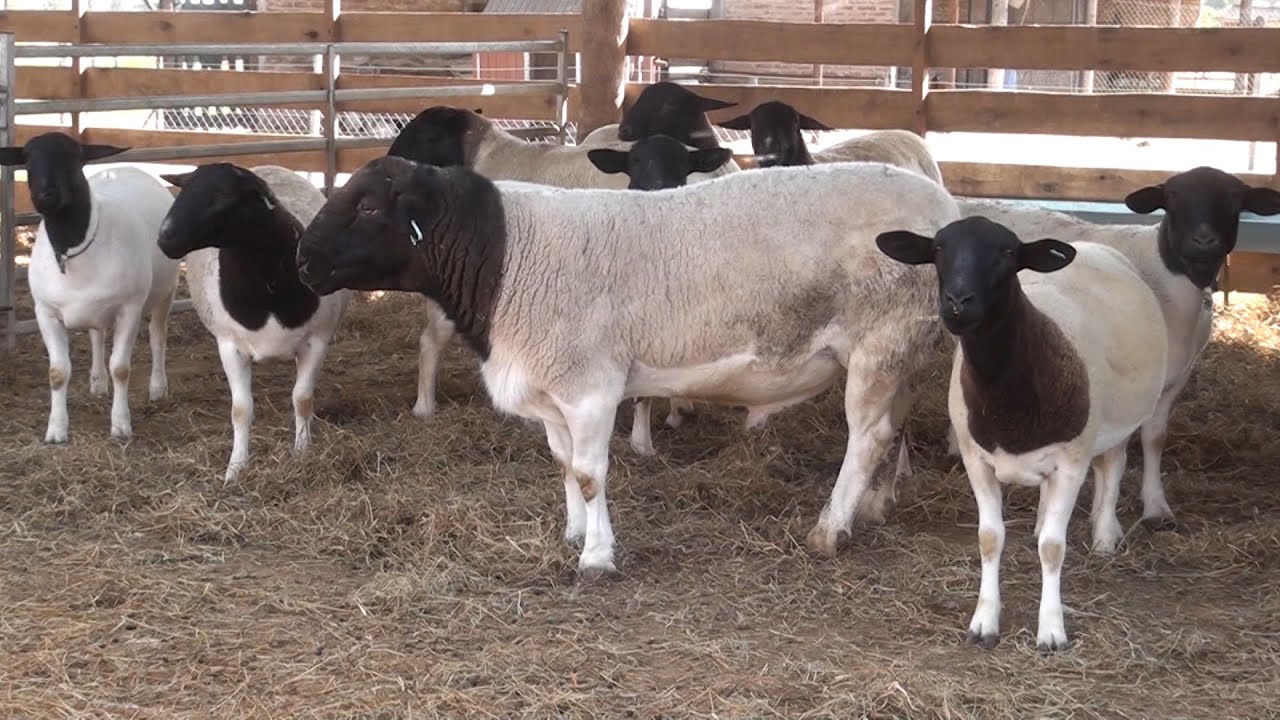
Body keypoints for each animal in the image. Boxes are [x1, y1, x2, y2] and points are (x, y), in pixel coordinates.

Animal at [0, 132, 179, 443]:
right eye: (27, 159)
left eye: (73, 157)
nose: (44, 195)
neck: (70, 250)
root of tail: (125, 167)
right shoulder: (45, 312)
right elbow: (57, 372)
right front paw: (56, 430)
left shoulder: (130, 309)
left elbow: (121, 369)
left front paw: (120, 426)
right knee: (97, 336)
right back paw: (97, 383)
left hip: (165, 292)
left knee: (158, 338)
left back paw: (158, 388)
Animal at [156, 163, 351, 481]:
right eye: (183, 190)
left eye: (224, 196)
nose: (164, 238)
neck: (265, 282)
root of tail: (270, 165)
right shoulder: (229, 346)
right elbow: (241, 410)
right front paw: (235, 468)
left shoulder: (316, 341)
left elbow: (302, 398)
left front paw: (301, 451)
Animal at [295, 155, 962, 578]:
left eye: (370, 208)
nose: (301, 260)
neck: (508, 255)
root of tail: (945, 211)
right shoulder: (552, 385)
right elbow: (563, 464)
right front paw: (573, 531)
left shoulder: (590, 385)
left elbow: (590, 474)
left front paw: (596, 557)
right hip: (906, 344)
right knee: (894, 427)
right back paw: (874, 508)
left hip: (880, 339)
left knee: (866, 437)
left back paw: (830, 530)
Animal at [877, 216, 1168, 651]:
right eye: (939, 248)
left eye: (1008, 252)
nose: (957, 303)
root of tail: (1095, 248)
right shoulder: (977, 461)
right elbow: (989, 538)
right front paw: (984, 622)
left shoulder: (1072, 462)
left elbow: (1053, 547)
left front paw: (1051, 631)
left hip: (1118, 419)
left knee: (1112, 466)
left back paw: (1104, 535)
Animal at [955, 166, 1280, 533]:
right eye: (1173, 196)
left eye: (1236, 199)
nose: (1204, 241)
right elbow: (1111, 455)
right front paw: (1102, 520)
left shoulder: (1170, 380)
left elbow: (1154, 438)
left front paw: (1155, 507)